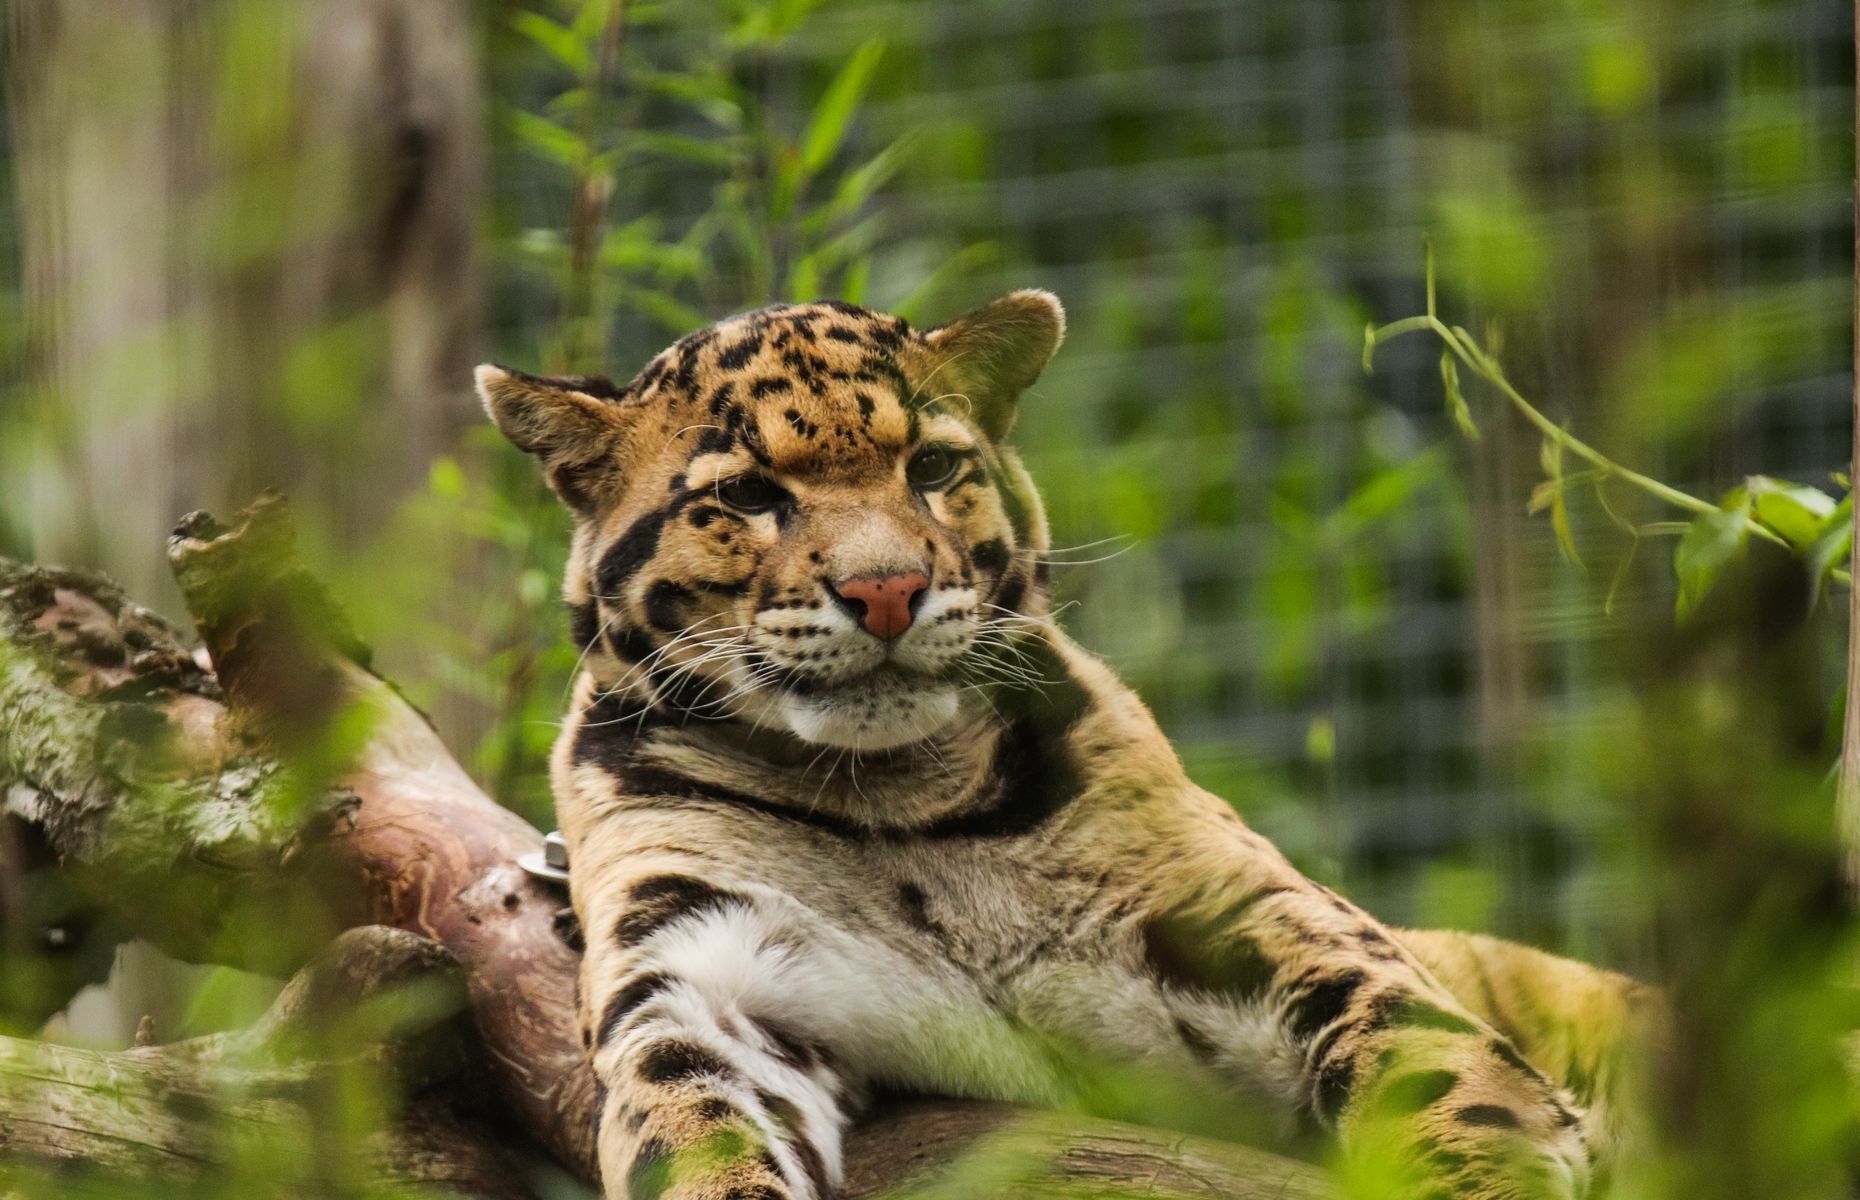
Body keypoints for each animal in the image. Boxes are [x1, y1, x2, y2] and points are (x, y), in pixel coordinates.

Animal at [477, 292, 1657, 1200]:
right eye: (748, 495)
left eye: (933, 467)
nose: (888, 590)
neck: (898, 800)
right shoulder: (693, 979)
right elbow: (688, 1133)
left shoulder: (1262, 924)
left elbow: (1438, 1072)